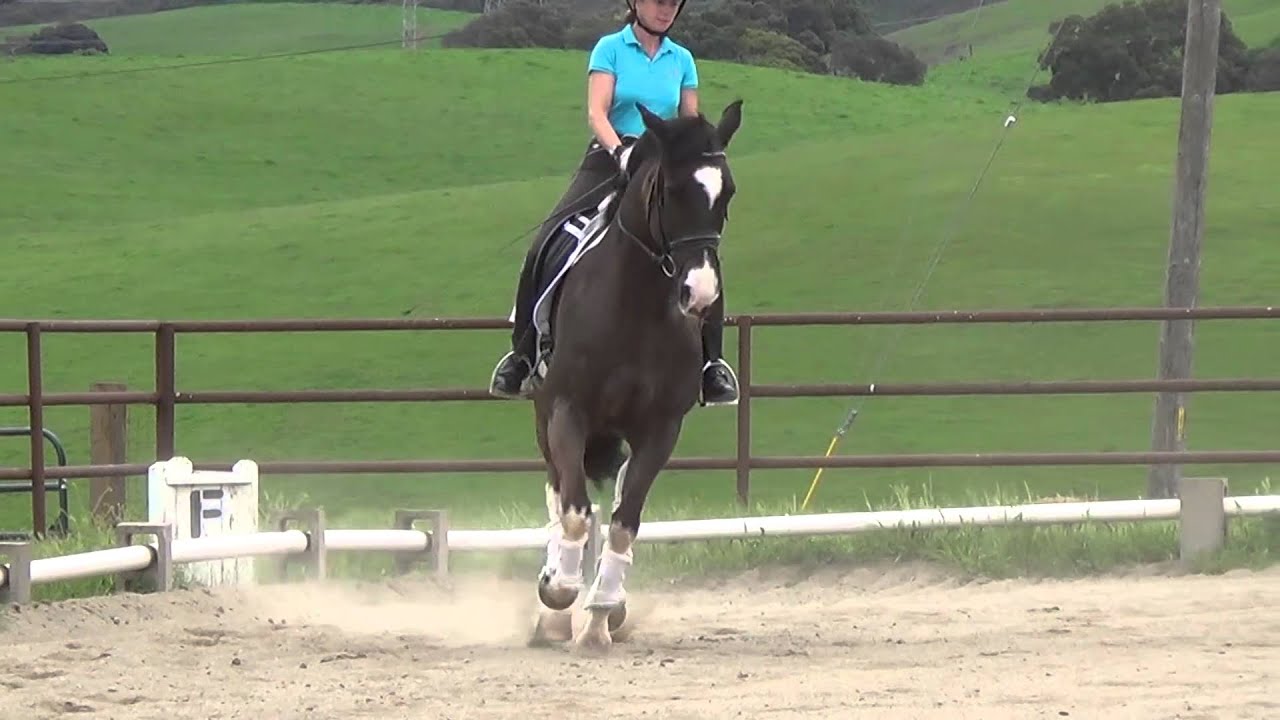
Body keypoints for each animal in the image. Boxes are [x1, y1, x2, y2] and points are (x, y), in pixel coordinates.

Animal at [522, 99, 743, 654]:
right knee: (558, 493)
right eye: (672, 188)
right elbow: (575, 511)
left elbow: (625, 520)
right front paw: (560, 592)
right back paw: (552, 608)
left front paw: (602, 614)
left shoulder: (661, 428)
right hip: (544, 415)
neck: (636, 306)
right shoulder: (567, 410)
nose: (700, 293)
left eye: (726, 192)